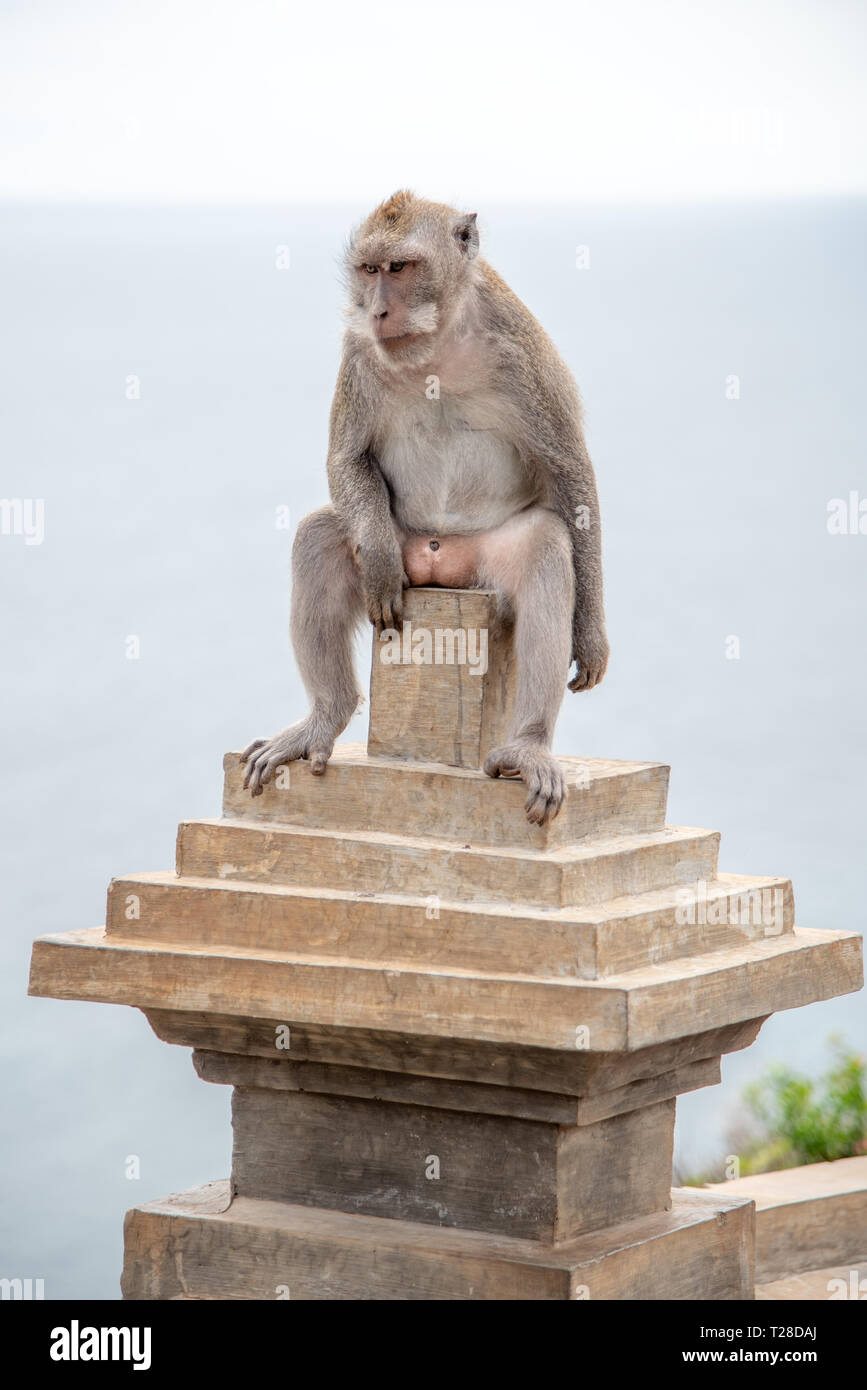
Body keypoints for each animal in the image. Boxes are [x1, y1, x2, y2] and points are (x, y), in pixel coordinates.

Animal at [241, 191, 608, 825]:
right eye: (369, 270)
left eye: (400, 268)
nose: (379, 310)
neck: (438, 339)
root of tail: (441, 562)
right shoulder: (358, 350)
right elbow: (347, 458)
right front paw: (379, 558)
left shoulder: (522, 348)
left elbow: (571, 475)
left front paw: (589, 638)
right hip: (411, 546)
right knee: (320, 535)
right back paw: (324, 718)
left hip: (481, 562)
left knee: (543, 546)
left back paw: (529, 747)